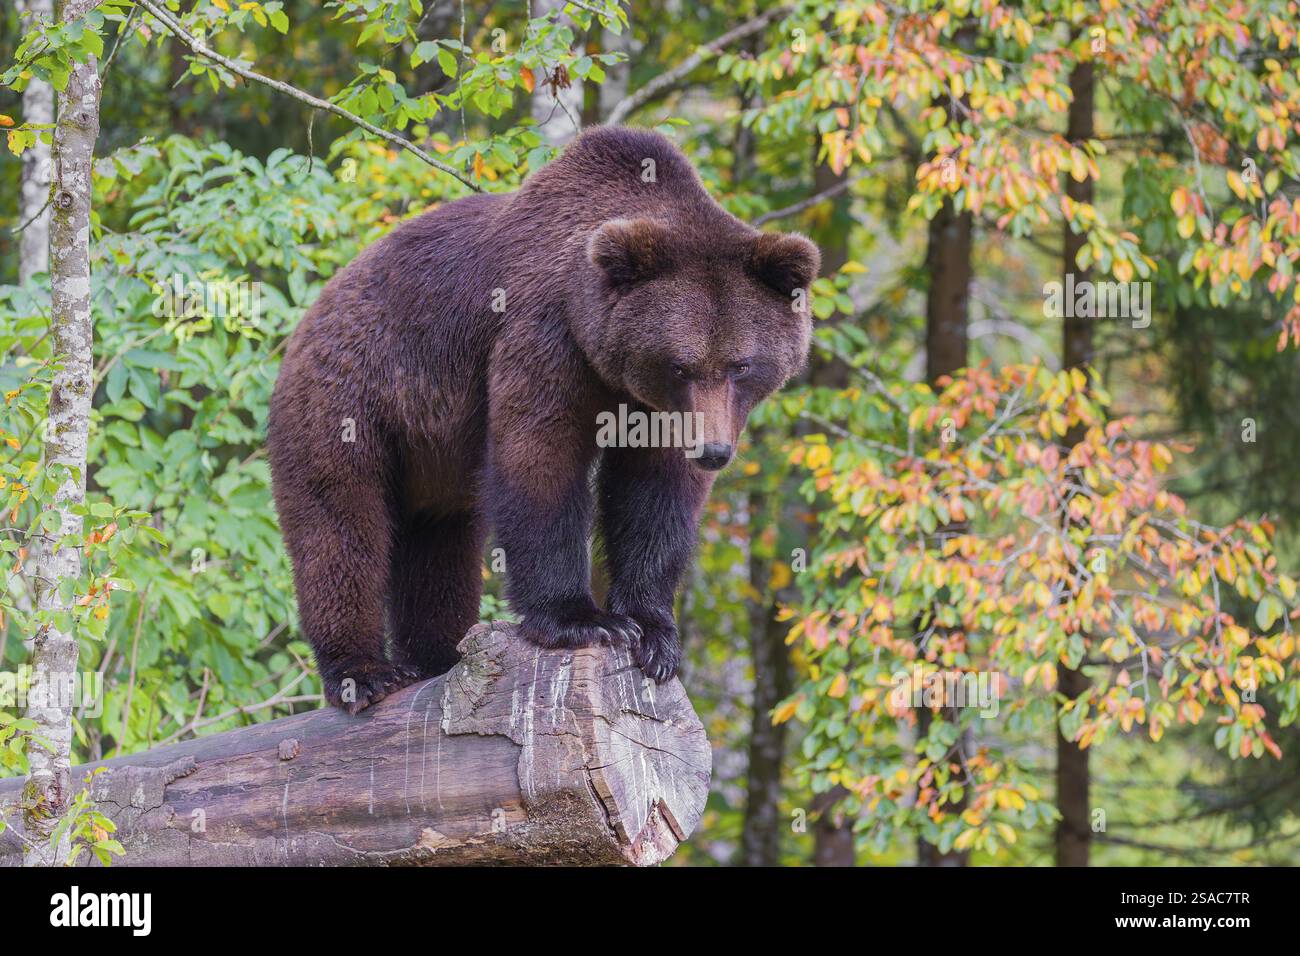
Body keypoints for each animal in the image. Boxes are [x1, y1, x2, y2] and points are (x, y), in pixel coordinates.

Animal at [267, 126, 819, 713]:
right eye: (679, 363)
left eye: (742, 364)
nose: (713, 451)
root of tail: (307, 316)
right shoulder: (544, 336)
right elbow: (540, 458)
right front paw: (582, 619)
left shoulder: (657, 409)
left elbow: (656, 494)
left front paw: (652, 633)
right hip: (351, 402)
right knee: (341, 525)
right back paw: (364, 672)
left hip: (429, 459)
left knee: (438, 542)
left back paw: (438, 654)